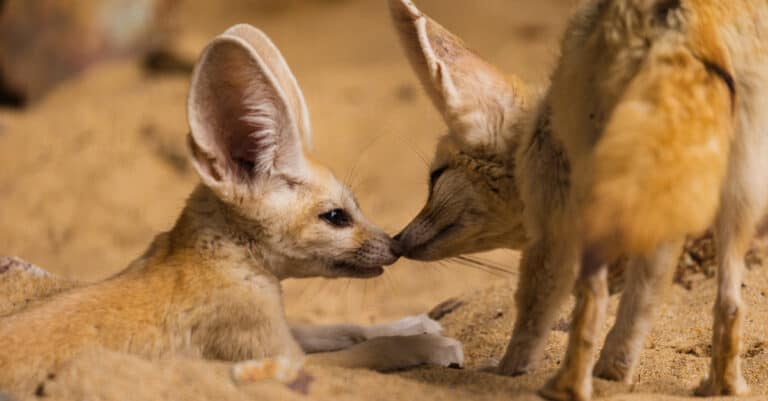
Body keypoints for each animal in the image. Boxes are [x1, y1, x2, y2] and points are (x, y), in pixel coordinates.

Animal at [0, 24, 463, 396]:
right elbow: (368, 351)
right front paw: (422, 345)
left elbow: (345, 328)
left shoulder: (282, 331)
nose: (396, 246)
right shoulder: (275, 355)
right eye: (336, 217)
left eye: (356, 207)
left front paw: (412, 324)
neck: (219, 258)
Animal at [389, 0, 768, 400]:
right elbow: (642, 302)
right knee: (730, 304)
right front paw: (613, 374)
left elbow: (534, 306)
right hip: (737, 186)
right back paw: (722, 386)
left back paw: (564, 387)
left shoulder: (554, 215)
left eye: (436, 175)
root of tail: (686, 19)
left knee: (593, 295)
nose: (396, 241)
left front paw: (507, 371)